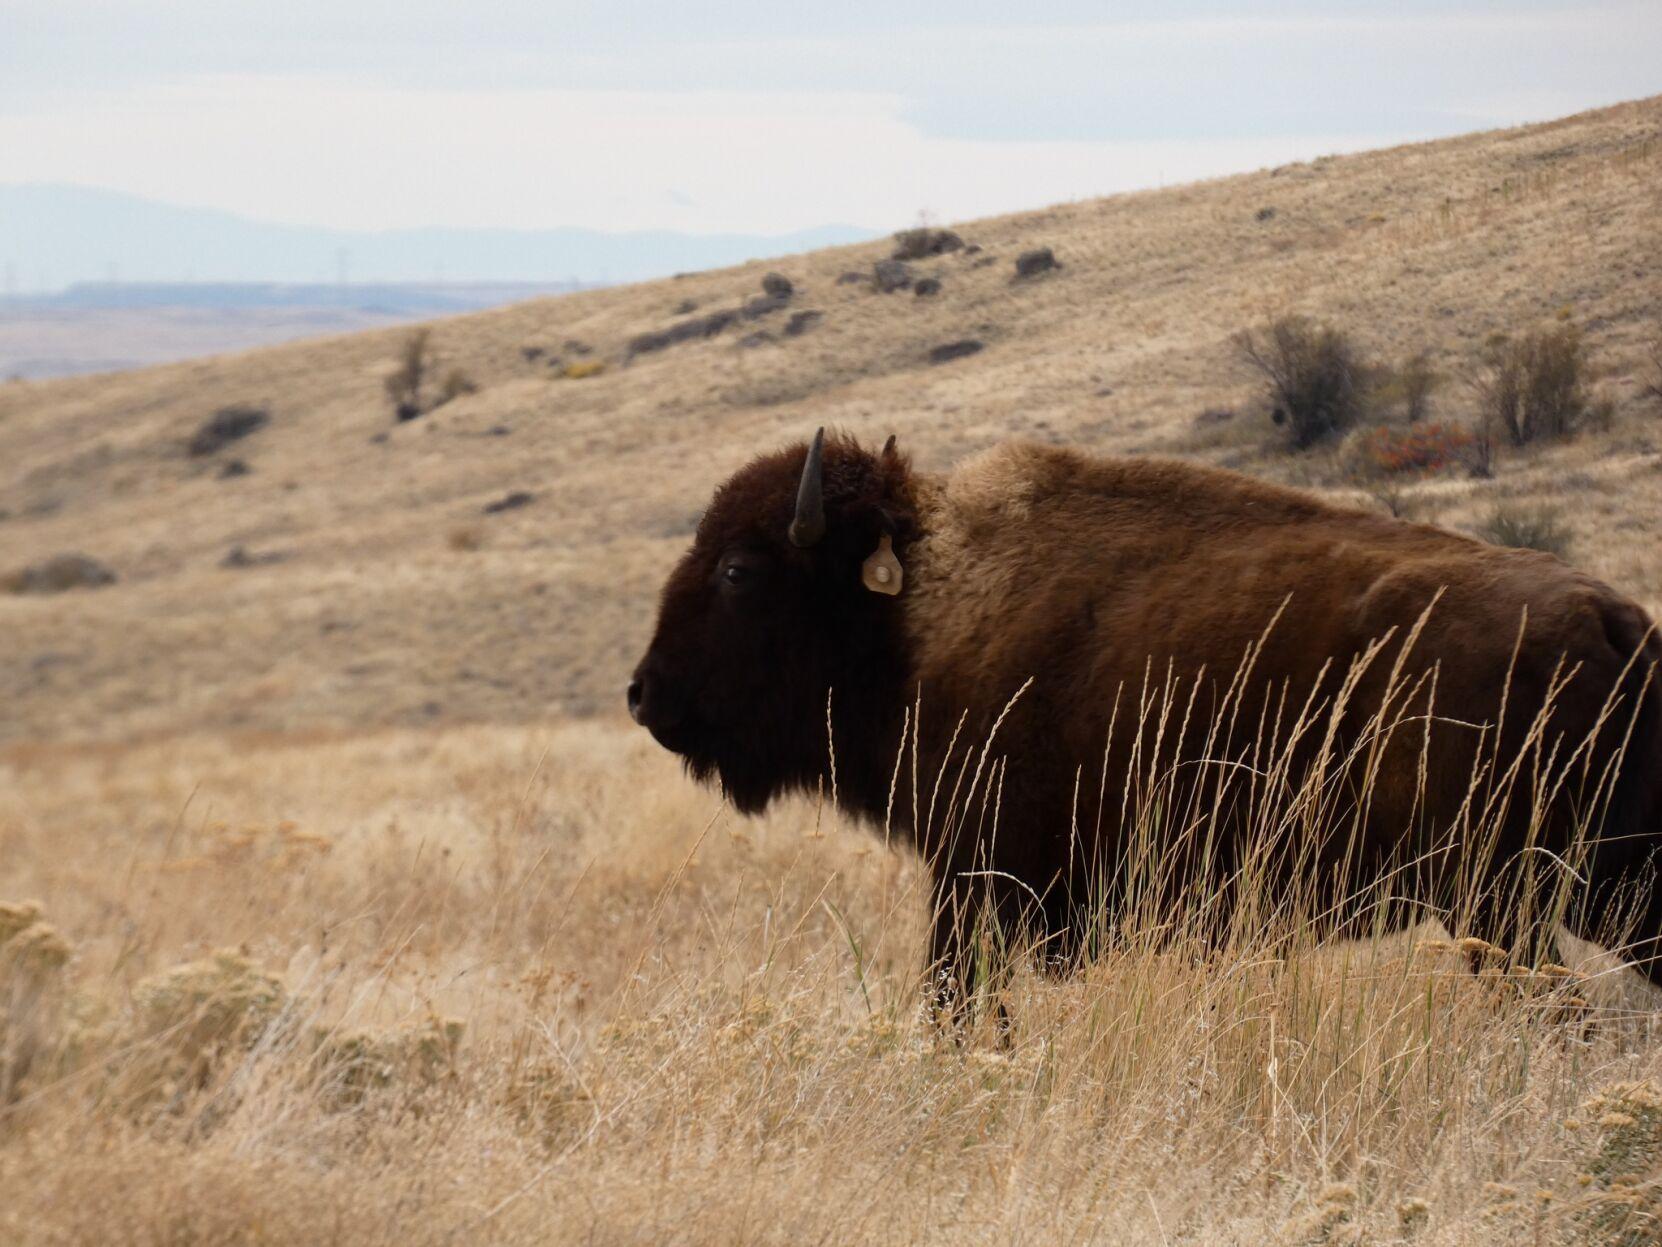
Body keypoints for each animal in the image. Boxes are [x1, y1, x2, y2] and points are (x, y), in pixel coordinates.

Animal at [630, 429, 1662, 1009]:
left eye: (738, 570)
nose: (645, 694)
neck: (917, 608)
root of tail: (1614, 620)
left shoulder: (974, 882)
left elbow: (959, 1007)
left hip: (1501, 900)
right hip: (1600, 887)